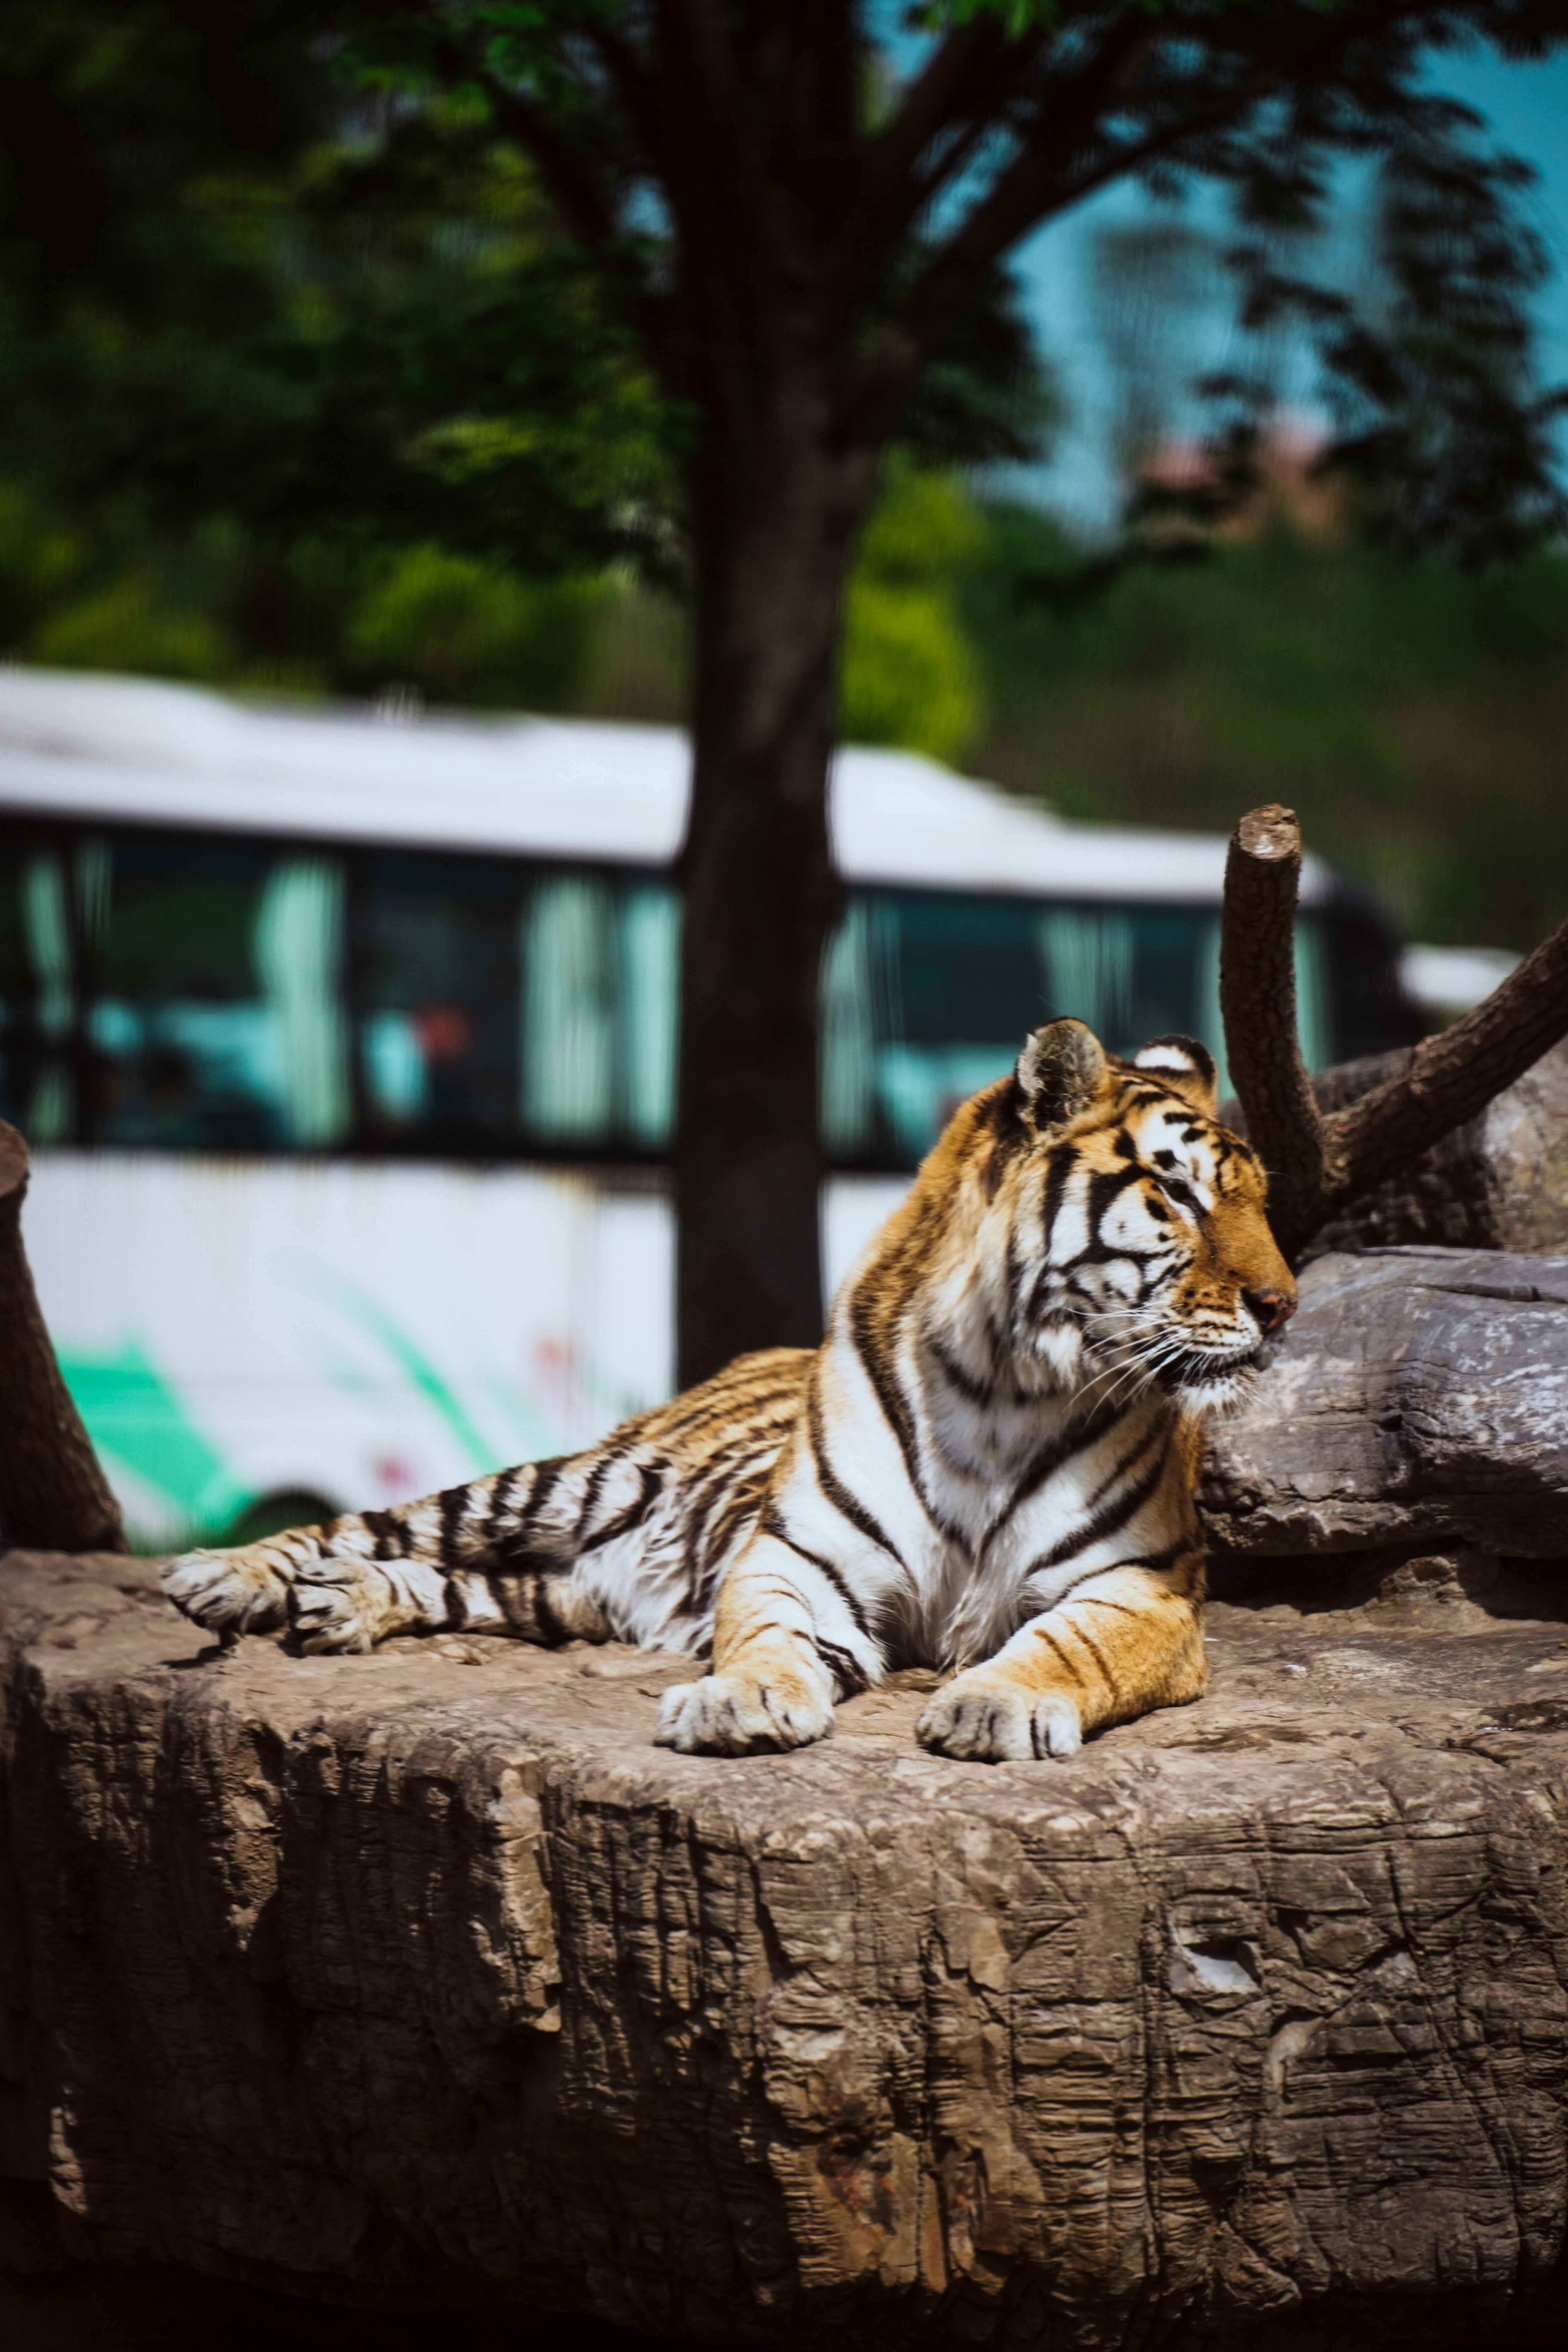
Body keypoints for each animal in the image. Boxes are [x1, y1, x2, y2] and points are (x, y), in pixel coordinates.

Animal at [161, 1020, 1295, 1763]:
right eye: (1177, 1191)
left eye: (1259, 1201)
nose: (1284, 1305)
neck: (1005, 1387)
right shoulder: (798, 1557)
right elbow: (769, 1636)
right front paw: (740, 1701)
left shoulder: (1138, 1584)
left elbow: (1067, 1644)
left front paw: (991, 1708)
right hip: (562, 1484)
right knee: (366, 1525)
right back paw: (226, 1576)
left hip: (564, 1591)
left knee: (460, 1585)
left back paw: (340, 1606)